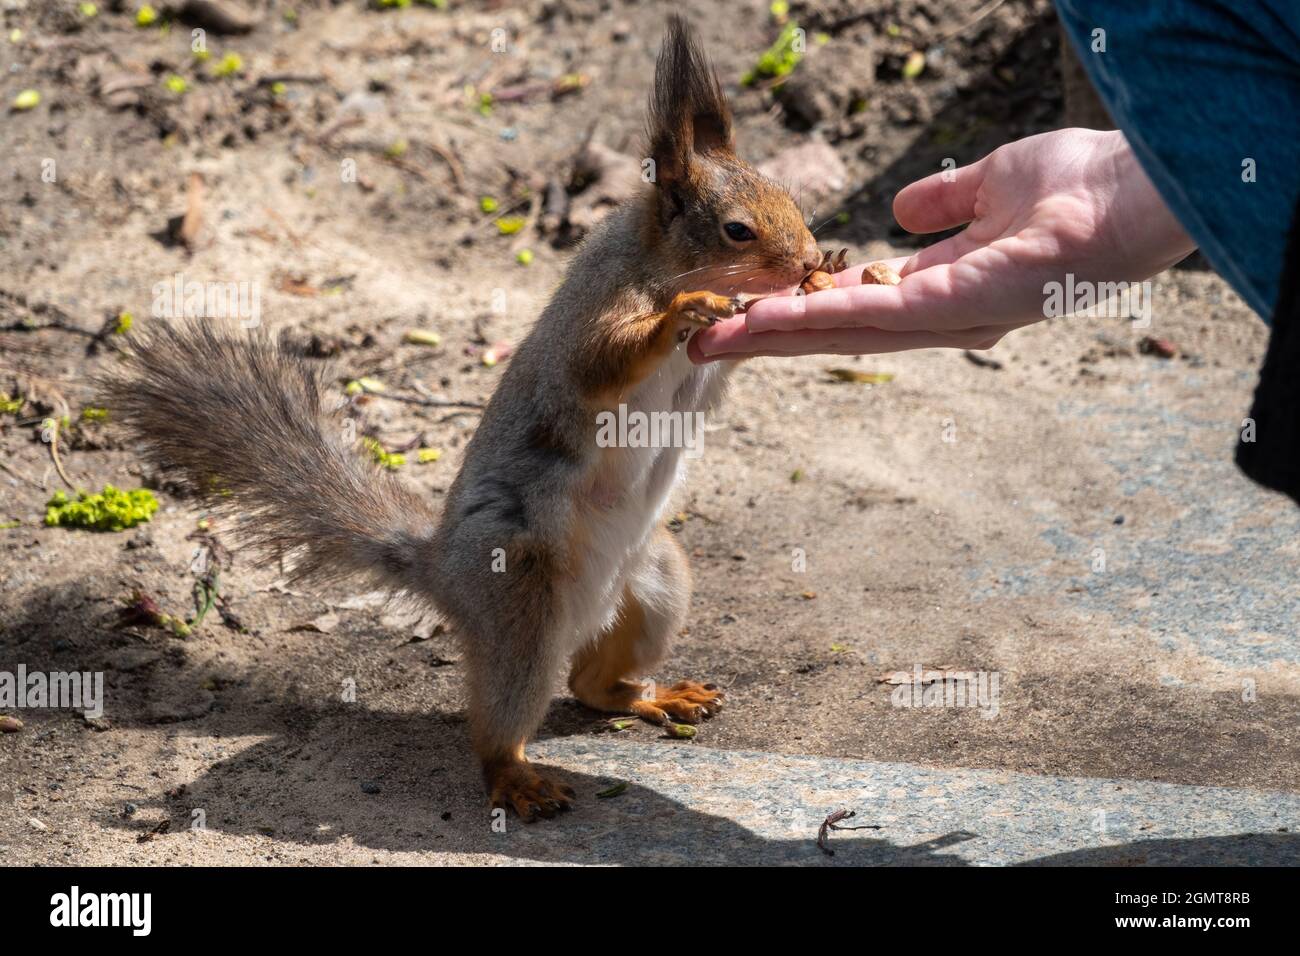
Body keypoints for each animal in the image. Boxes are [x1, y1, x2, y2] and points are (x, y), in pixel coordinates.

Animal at [107, 15, 822, 822]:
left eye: (790, 198)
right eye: (736, 231)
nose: (807, 261)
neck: (659, 261)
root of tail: (441, 570)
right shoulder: (595, 315)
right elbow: (600, 366)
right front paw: (689, 309)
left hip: (658, 580)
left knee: (591, 685)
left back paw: (655, 696)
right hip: (518, 592)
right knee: (505, 716)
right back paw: (515, 776)